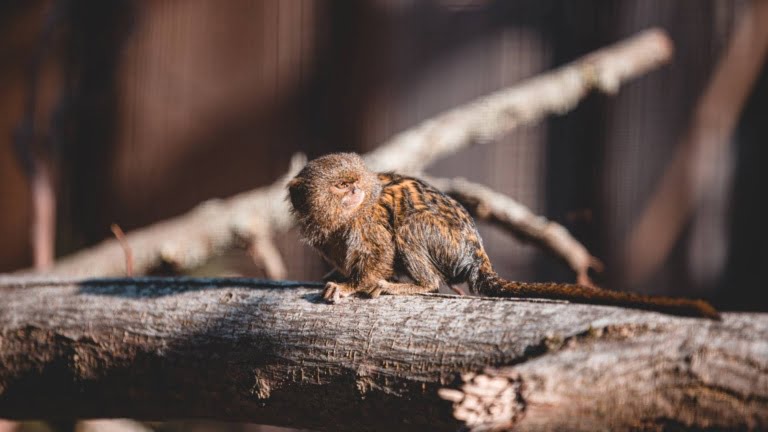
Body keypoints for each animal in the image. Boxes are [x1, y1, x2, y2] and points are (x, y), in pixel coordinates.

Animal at [287, 153, 720, 319]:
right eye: (340, 186)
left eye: (353, 184)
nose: (355, 193)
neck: (344, 218)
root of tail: (477, 255)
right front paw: (337, 275)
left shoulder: (368, 222)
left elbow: (379, 255)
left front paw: (352, 285)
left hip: (440, 238)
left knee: (411, 233)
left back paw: (411, 285)